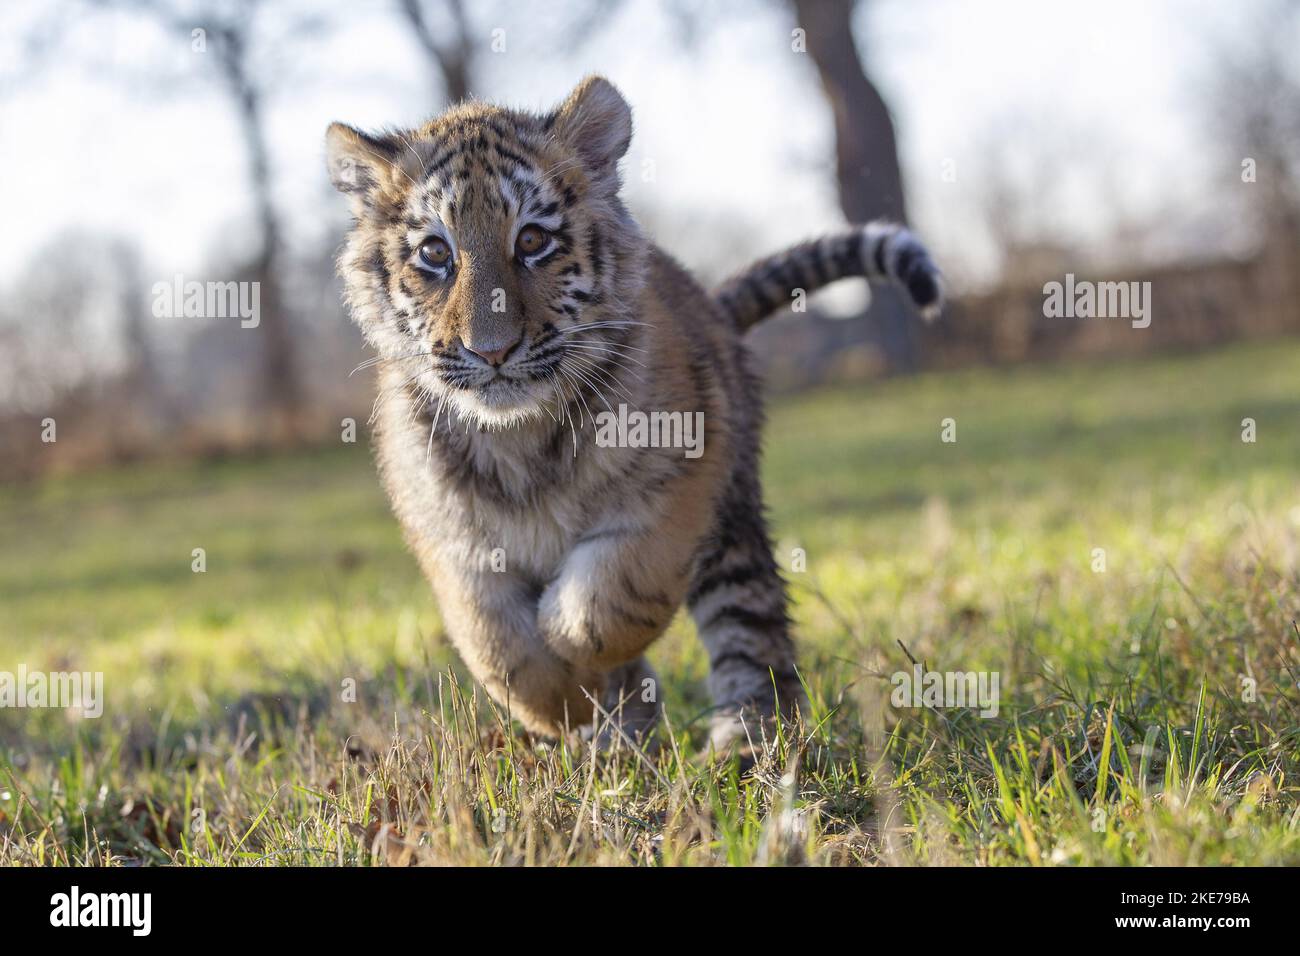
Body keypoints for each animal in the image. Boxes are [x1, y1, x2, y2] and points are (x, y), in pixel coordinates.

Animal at [325, 75, 942, 754]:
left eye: (533, 241)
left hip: (729, 525)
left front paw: (566, 638)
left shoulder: (675, 488)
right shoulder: (452, 540)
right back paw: (625, 735)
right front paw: (564, 703)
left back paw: (747, 738)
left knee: (749, 623)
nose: (491, 350)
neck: (520, 434)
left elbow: (605, 600)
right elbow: (496, 643)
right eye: (436, 252)